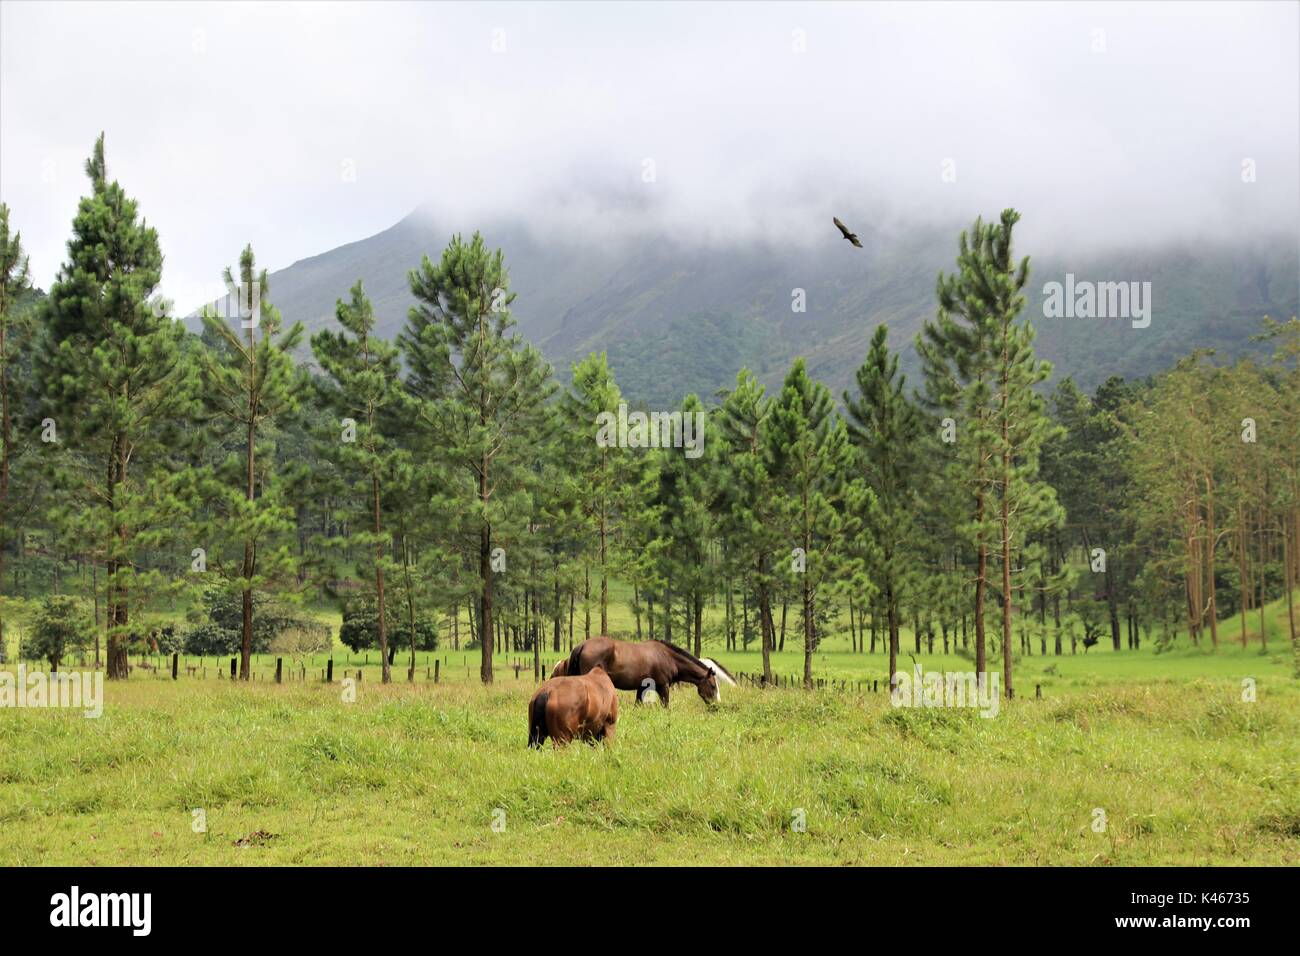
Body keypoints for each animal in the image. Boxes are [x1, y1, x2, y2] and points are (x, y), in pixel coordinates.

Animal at [563, 636, 734, 707]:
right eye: (713, 686)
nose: (717, 705)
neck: (667, 656)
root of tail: (583, 645)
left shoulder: (641, 687)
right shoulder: (663, 687)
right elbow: (666, 706)